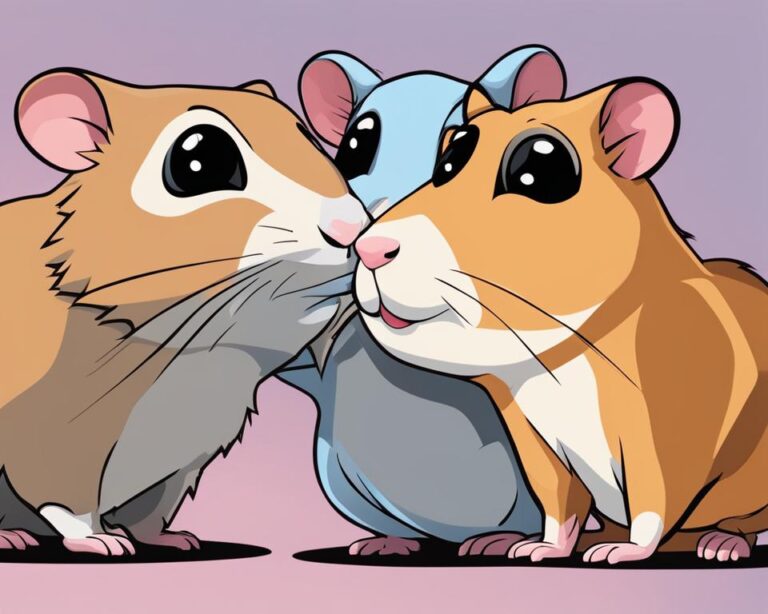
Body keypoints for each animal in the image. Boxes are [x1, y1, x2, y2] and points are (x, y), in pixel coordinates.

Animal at [0, 68, 368, 556]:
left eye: (303, 135)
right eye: (198, 160)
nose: (351, 230)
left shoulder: (182, 463)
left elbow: (151, 512)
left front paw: (174, 539)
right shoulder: (52, 431)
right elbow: (64, 499)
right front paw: (102, 542)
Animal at [277, 47, 562, 555]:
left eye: (452, 156)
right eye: (353, 149)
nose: (370, 244)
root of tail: (449, 536)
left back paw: (498, 540)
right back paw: (390, 543)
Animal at [353, 76, 767, 564]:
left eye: (537, 173)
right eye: (448, 162)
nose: (370, 249)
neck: (559, 362)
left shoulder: (663, 427)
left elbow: (655, 495)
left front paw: (626, 552)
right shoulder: (533, 438)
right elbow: (557, 500)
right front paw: (544, 547)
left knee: (734, 523)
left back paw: (721, 543)